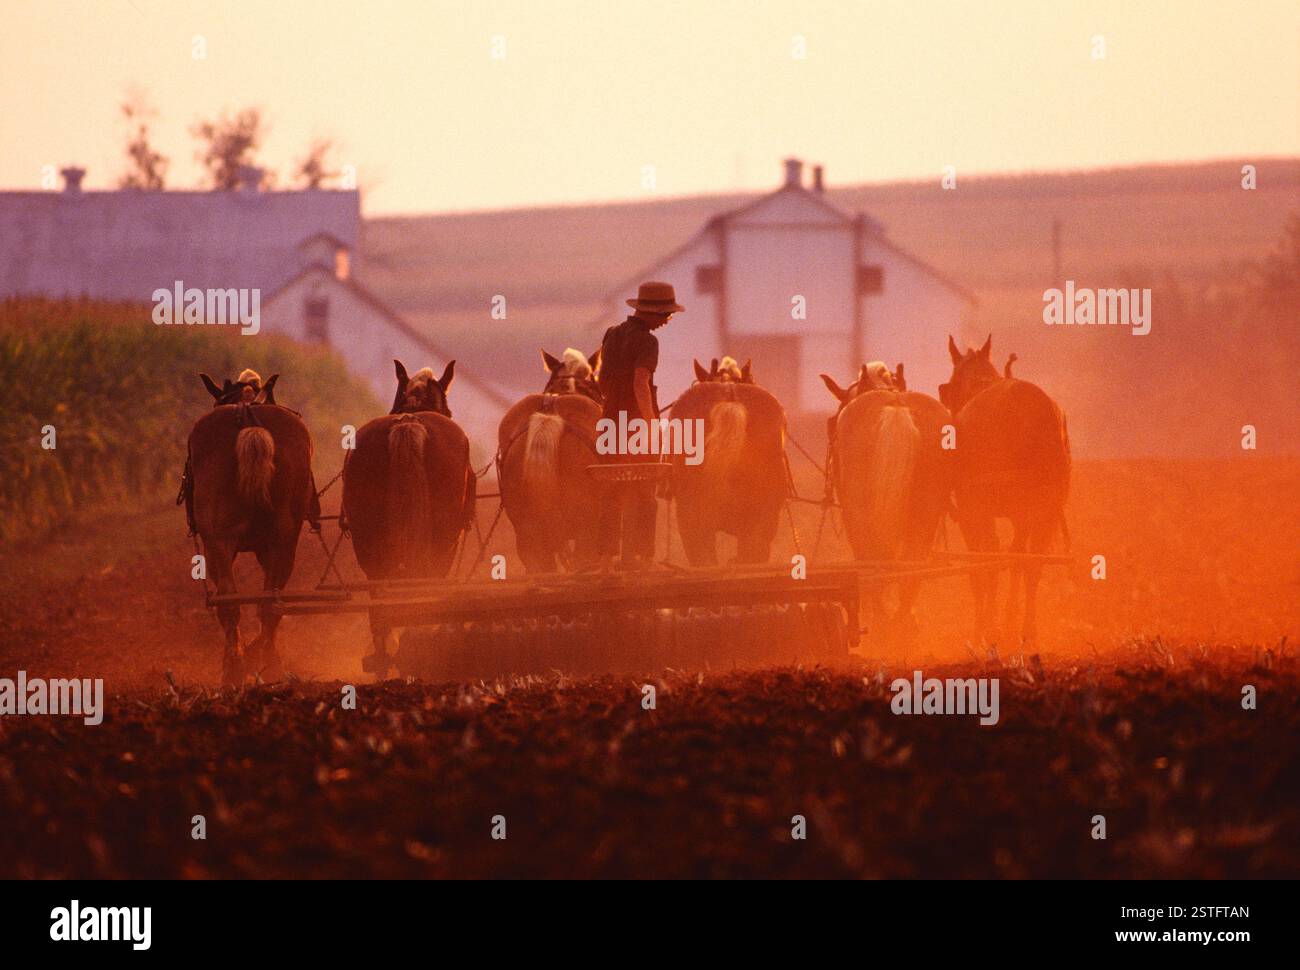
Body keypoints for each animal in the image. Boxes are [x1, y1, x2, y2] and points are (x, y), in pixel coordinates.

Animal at [187, 370, 315, 684]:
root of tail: (247, 417)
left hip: (218, 543)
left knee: (230, 604)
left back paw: (235, 669)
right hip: (284, 541)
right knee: (270, 604)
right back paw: (269, 665)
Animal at [820, 361, 952, 646]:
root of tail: (897, 407)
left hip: (859, 516)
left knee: (873, 563)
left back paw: (882, 626)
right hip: (926, 513)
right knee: (911, 567)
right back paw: (903, 626)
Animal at [939, 335, 1071, 645]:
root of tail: (1039, 408)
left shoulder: (973, 512)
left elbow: (982, 567)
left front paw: (984, 629)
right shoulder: (1021, 516)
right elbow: (1013, 559)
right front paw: (1004, 624)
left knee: (999, 559)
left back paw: (1000, 629)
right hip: (1044, 509)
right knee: (1031, 563)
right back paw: (1026, 632)